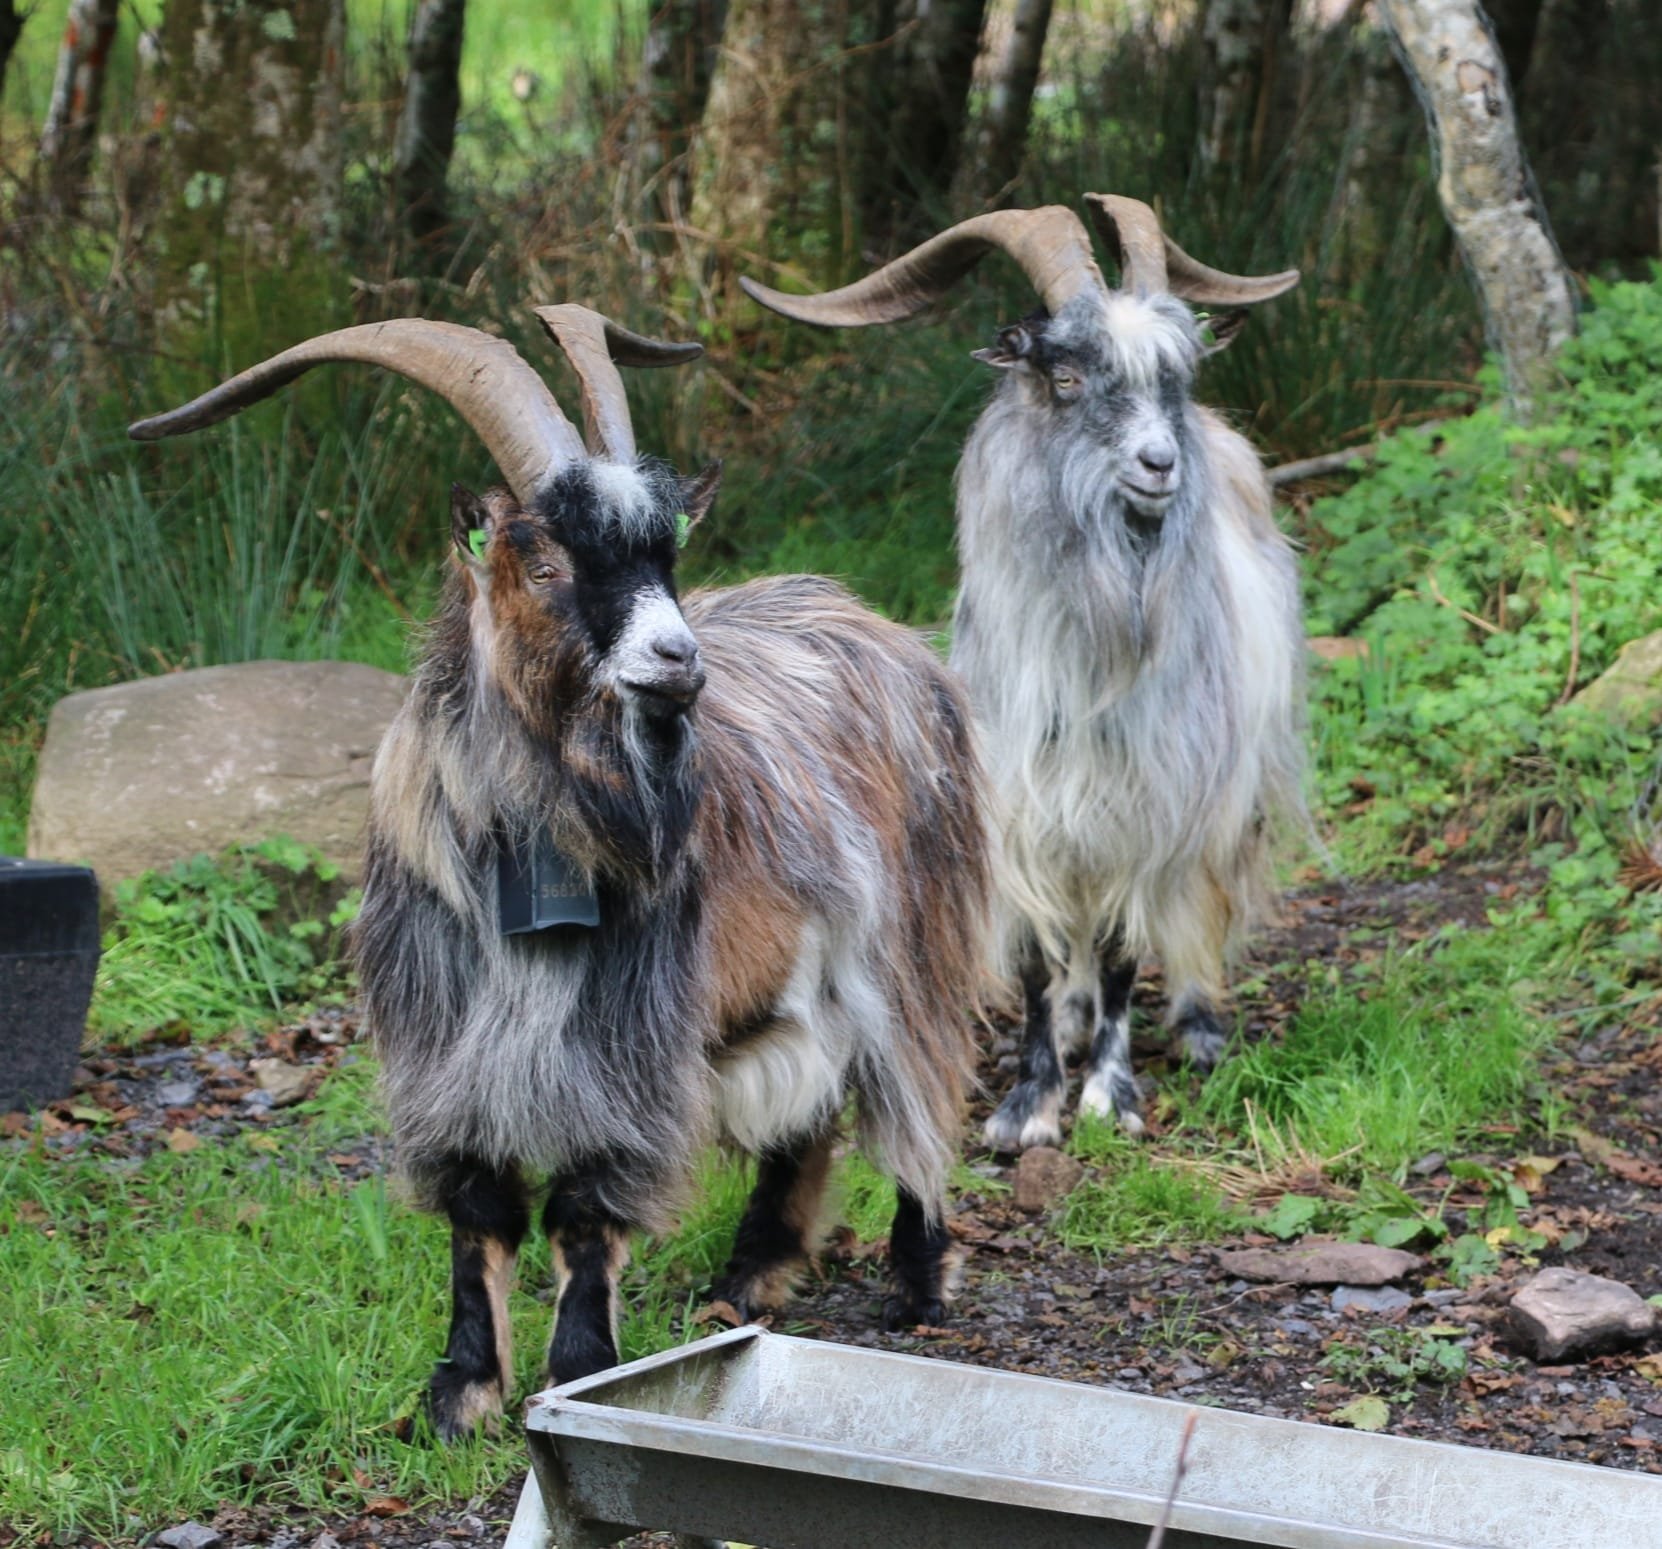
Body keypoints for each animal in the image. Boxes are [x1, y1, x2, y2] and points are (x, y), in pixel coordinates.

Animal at [129, 306, 990, 1438]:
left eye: (667, 555)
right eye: (542, 565)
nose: (679, 661)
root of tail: (878, 626)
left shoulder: (624, 1037)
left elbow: (586, 1205)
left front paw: (576, 1371)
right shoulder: (447, 1045)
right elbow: (479, 1207)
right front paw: (460, 1391)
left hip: (912, 938)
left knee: (916, 1088)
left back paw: (918, 1281)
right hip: (793, 976)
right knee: (807, 1111)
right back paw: (746, 1280)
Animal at [743, 197, 1306, 1147]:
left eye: (1178, 374)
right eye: (1065, 375)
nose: (1160, 464)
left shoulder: (1141, 803)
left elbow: (1120, 945)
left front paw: (1111, 1094)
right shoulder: (1019, 812)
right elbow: (1042, 958)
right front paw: (1029, 1103)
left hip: (1233, 777)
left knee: (1204, 889)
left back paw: (1197, 1021)